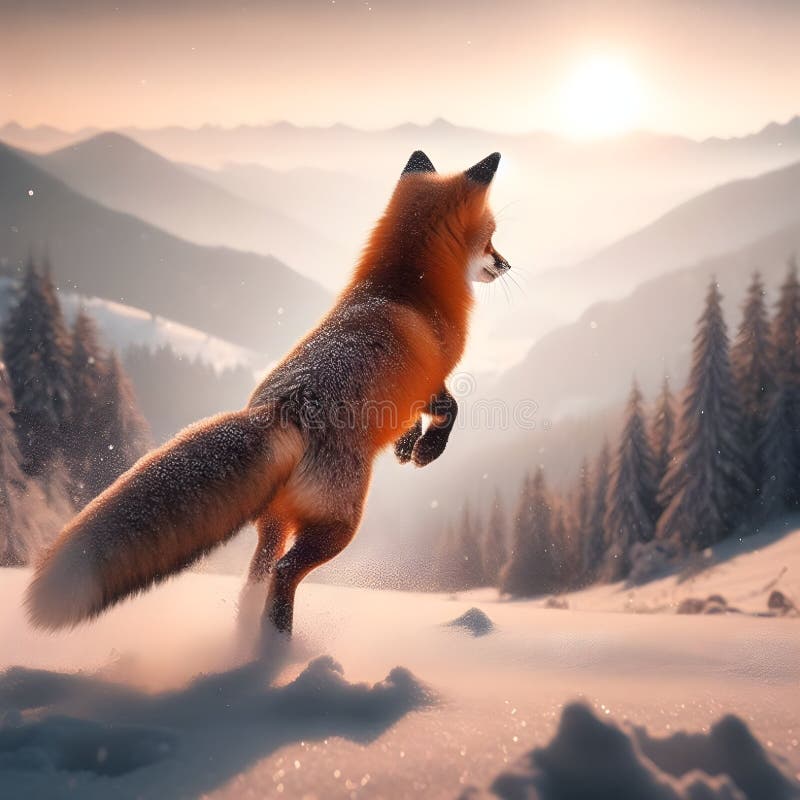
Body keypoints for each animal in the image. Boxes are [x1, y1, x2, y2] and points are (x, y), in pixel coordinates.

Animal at [25, 150, 510, 637]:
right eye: (491, 238)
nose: (506, 265)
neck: (403, 288)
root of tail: (282, 409)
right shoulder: (431, 381)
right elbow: (450, 409)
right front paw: (427, 450)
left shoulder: (411, 392)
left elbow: (417, 418)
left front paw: (406, 447)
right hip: (339, 525)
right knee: (283, 571)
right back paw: (278, 641)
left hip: (275, 520)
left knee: (256, 574)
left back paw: (250, 638)